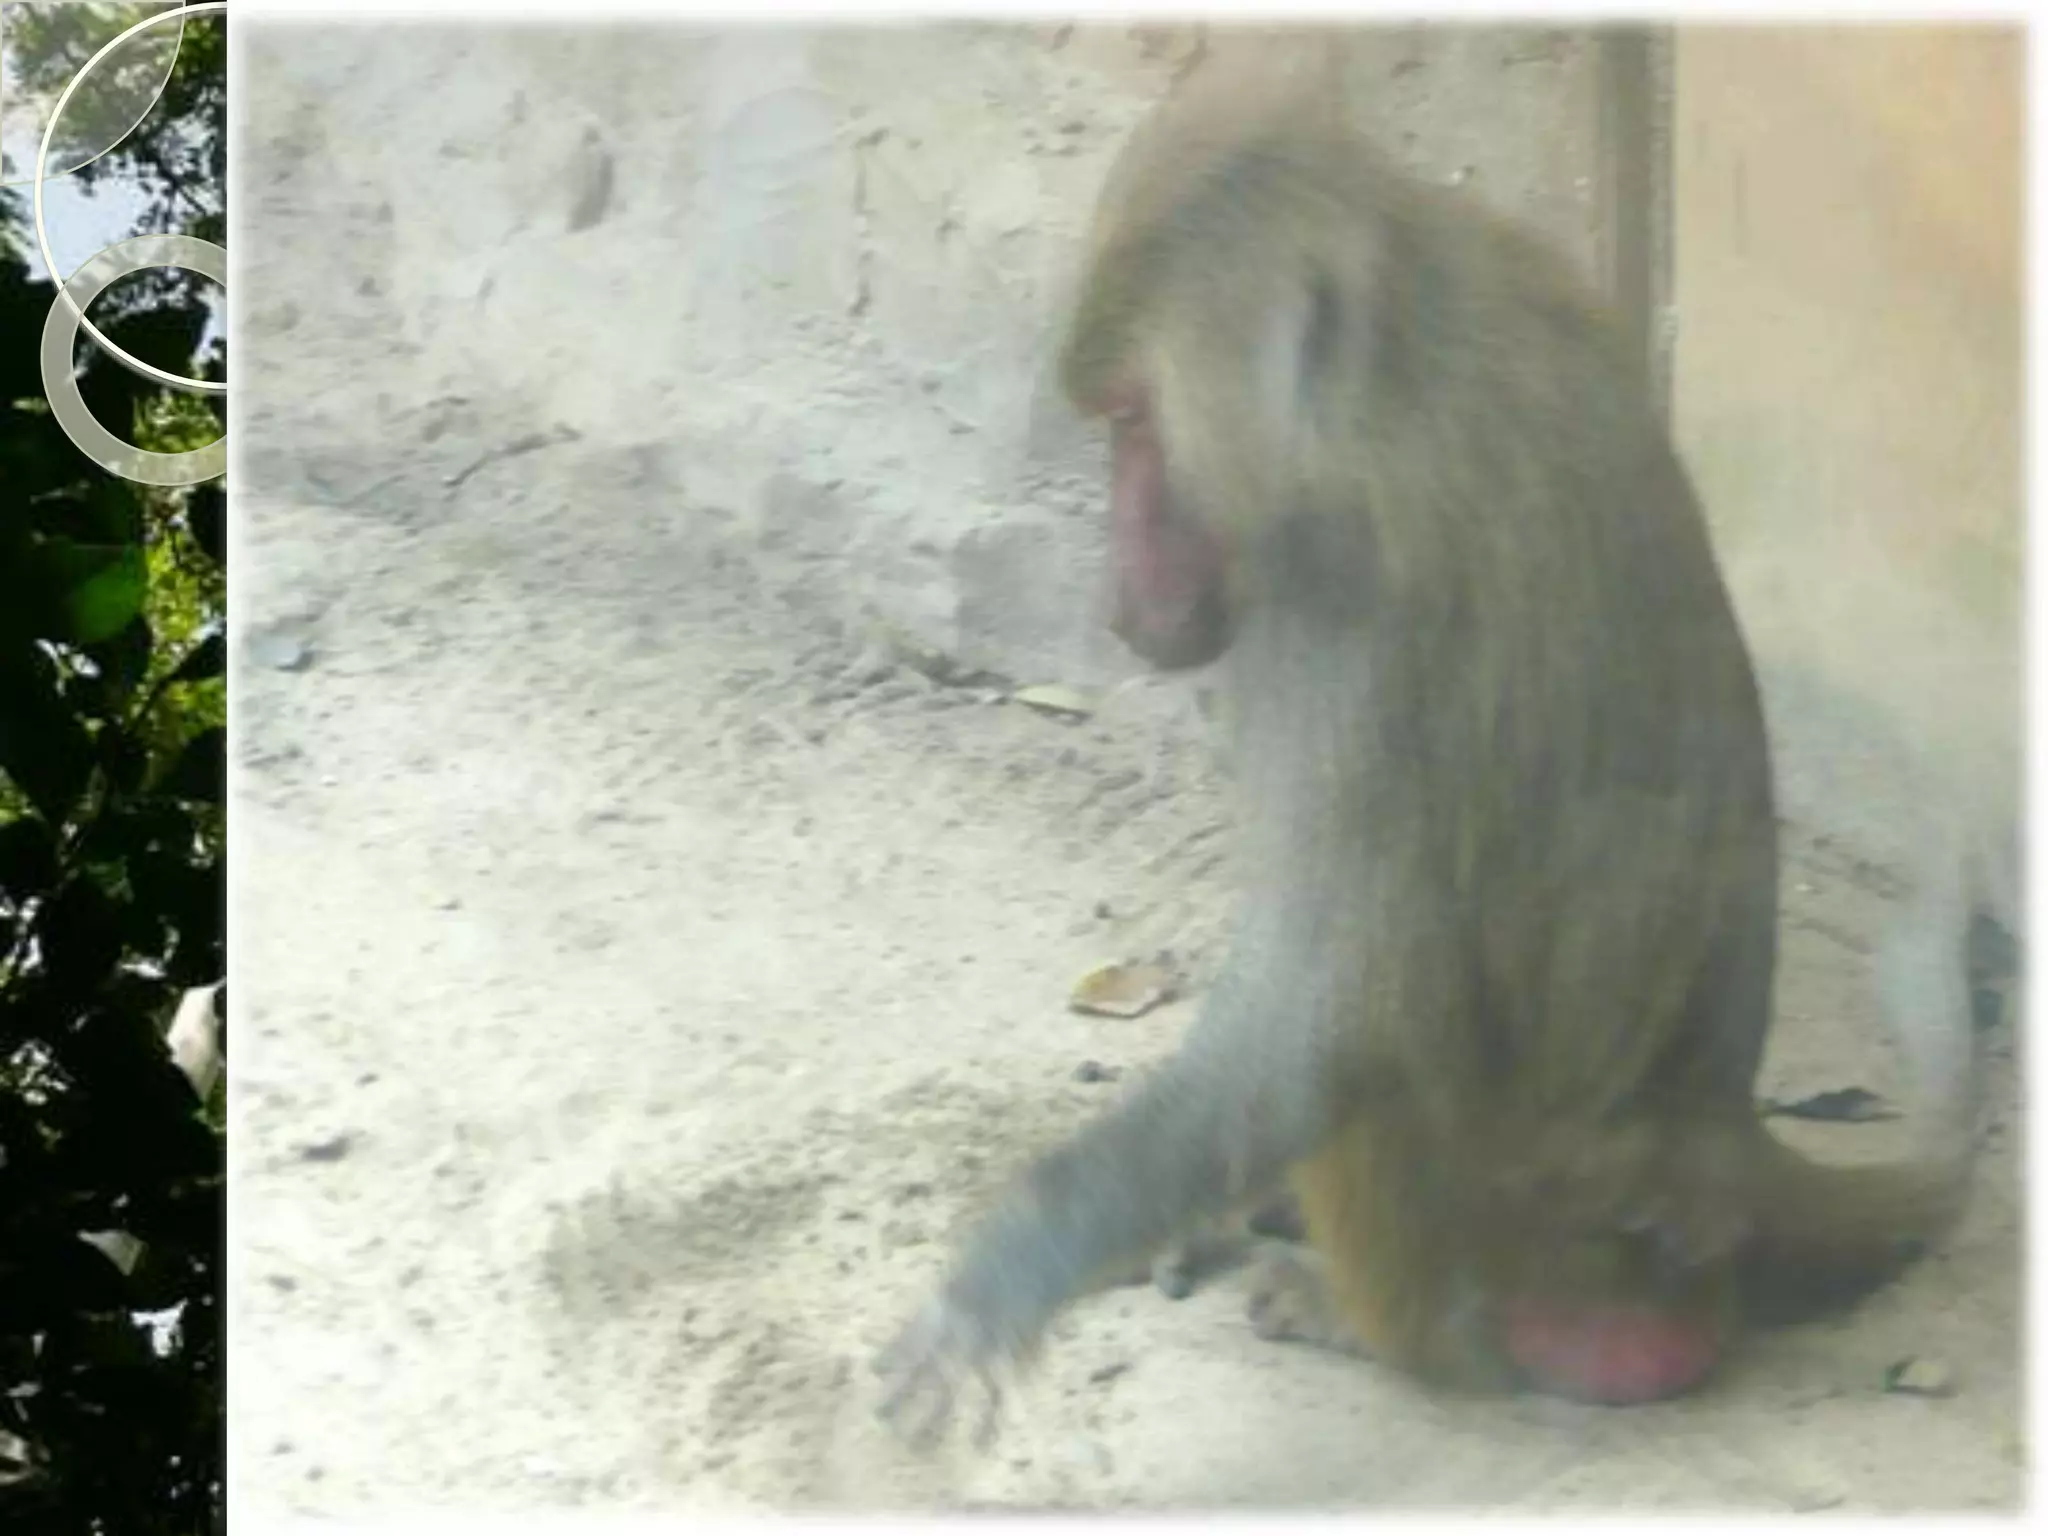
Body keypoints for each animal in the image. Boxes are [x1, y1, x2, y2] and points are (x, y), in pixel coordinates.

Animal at [873, 58, 1981, 1441]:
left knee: (1383, 1077)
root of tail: (1723, 1163)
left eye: (1133, 423)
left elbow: (1319, 1021)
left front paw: (1017, 1262)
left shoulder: (1347, 616)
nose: (1118, 593)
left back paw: (1355, 1320)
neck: (1399, 349)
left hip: (1522, 1238)